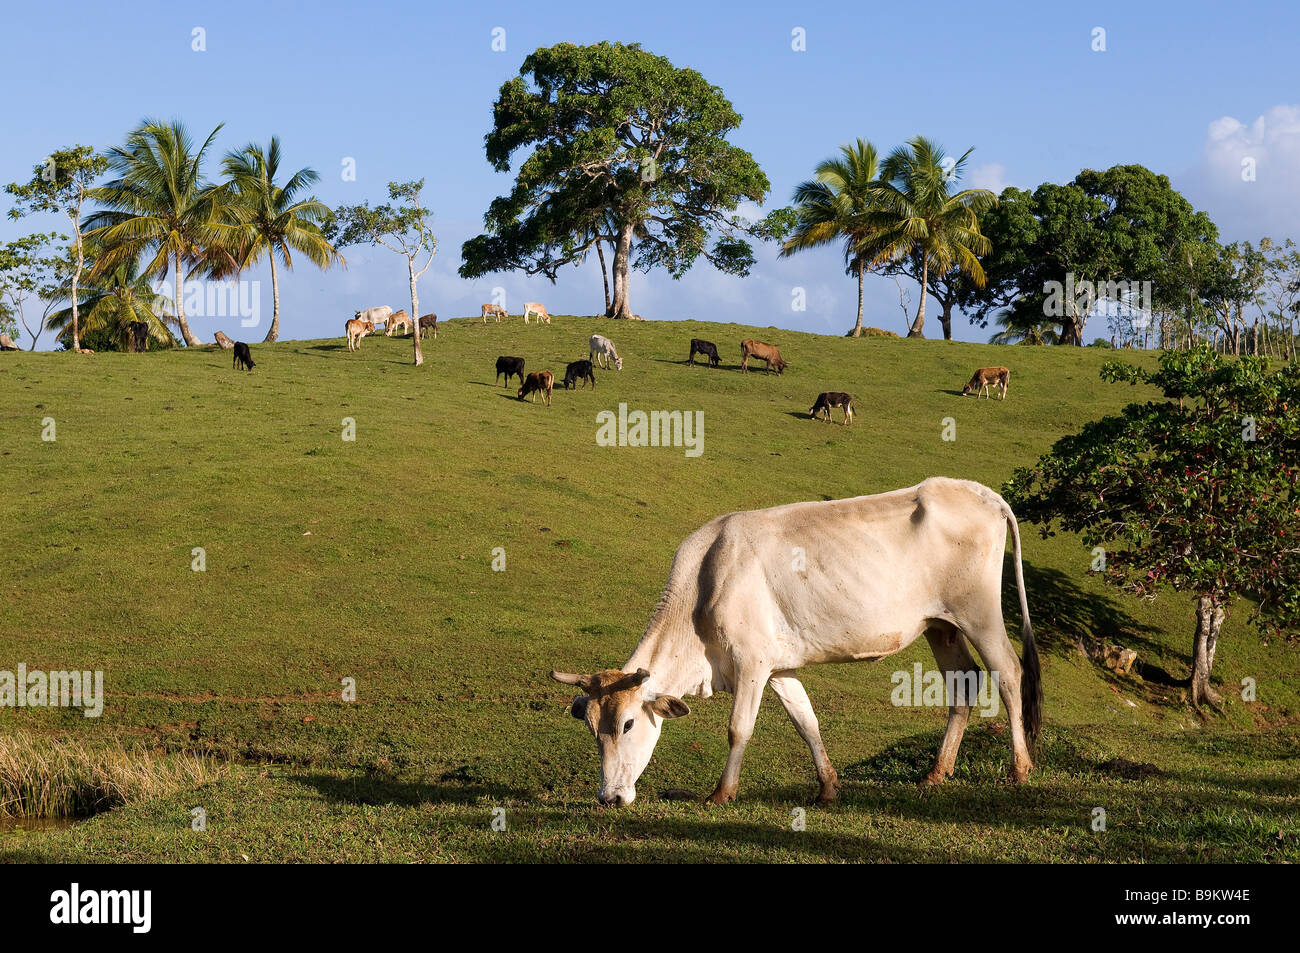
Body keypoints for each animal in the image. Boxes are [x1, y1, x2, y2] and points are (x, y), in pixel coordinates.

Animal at [551, 477, 1041, 808]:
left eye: (628, 724)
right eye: (592, 728)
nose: (609, 797)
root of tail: (982, 492)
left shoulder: (750, 661)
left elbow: (739, 728)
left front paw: (721, 793)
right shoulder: (778, 666)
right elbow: (807, 722)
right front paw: (827, 788)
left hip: (979, 612)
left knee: (1009, 674)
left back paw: (1019, 769)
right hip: (941, 625)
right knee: (965, 682)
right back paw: (937, 773)